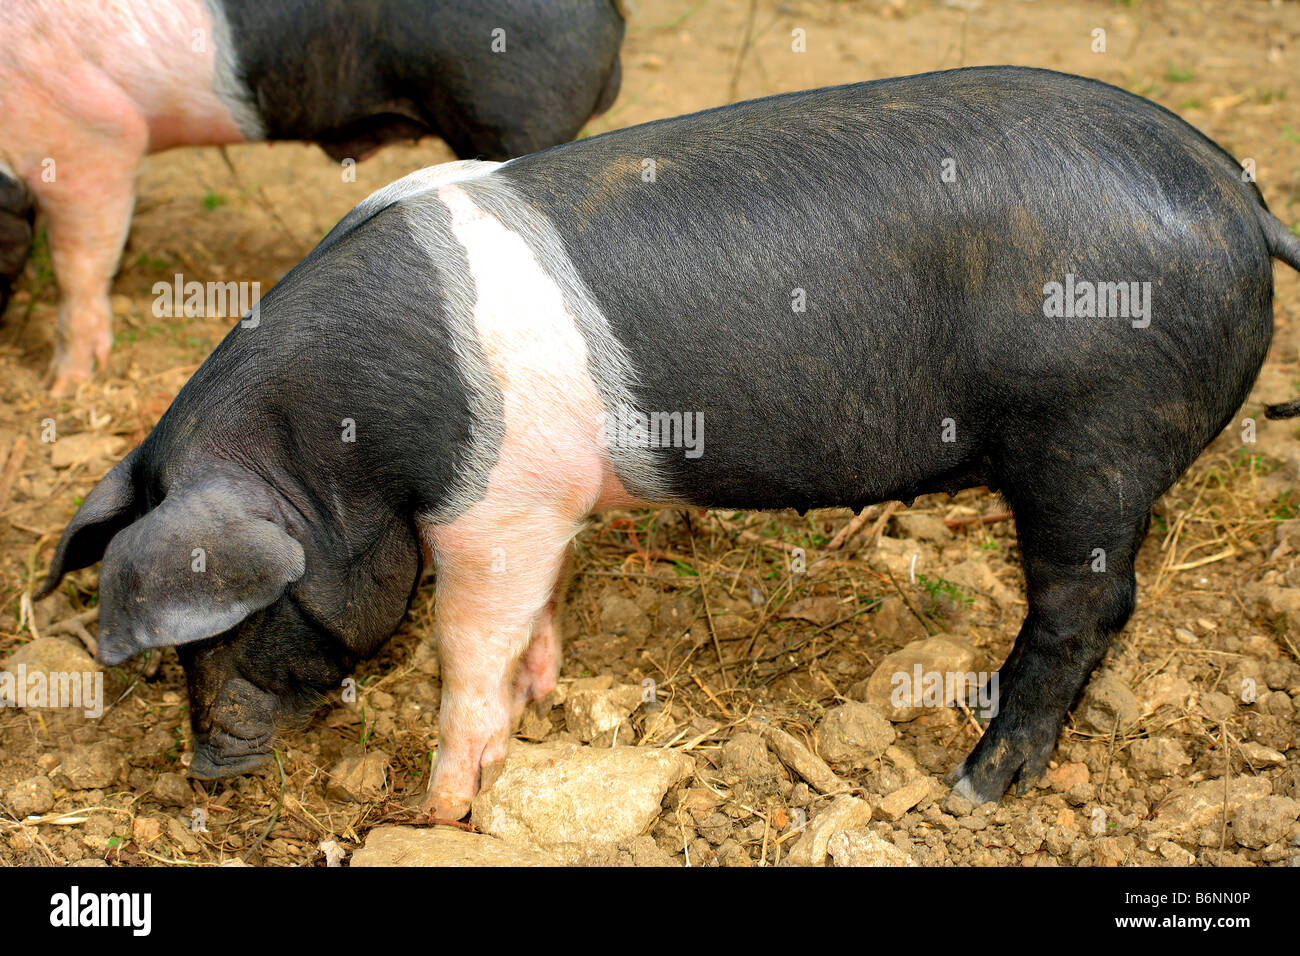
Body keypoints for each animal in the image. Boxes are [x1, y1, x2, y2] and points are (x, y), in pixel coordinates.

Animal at [37, 66, 1300, 818]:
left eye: (235, 620)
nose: (210, 764)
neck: (338, 441)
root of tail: (1237, 195)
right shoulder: (542, 506)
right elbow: (532, 620)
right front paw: (546, 693)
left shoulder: (491, 507)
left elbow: (468, 647)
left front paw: (442, 808)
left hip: (1095, 434)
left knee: (1089, 604)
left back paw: (972, 784)